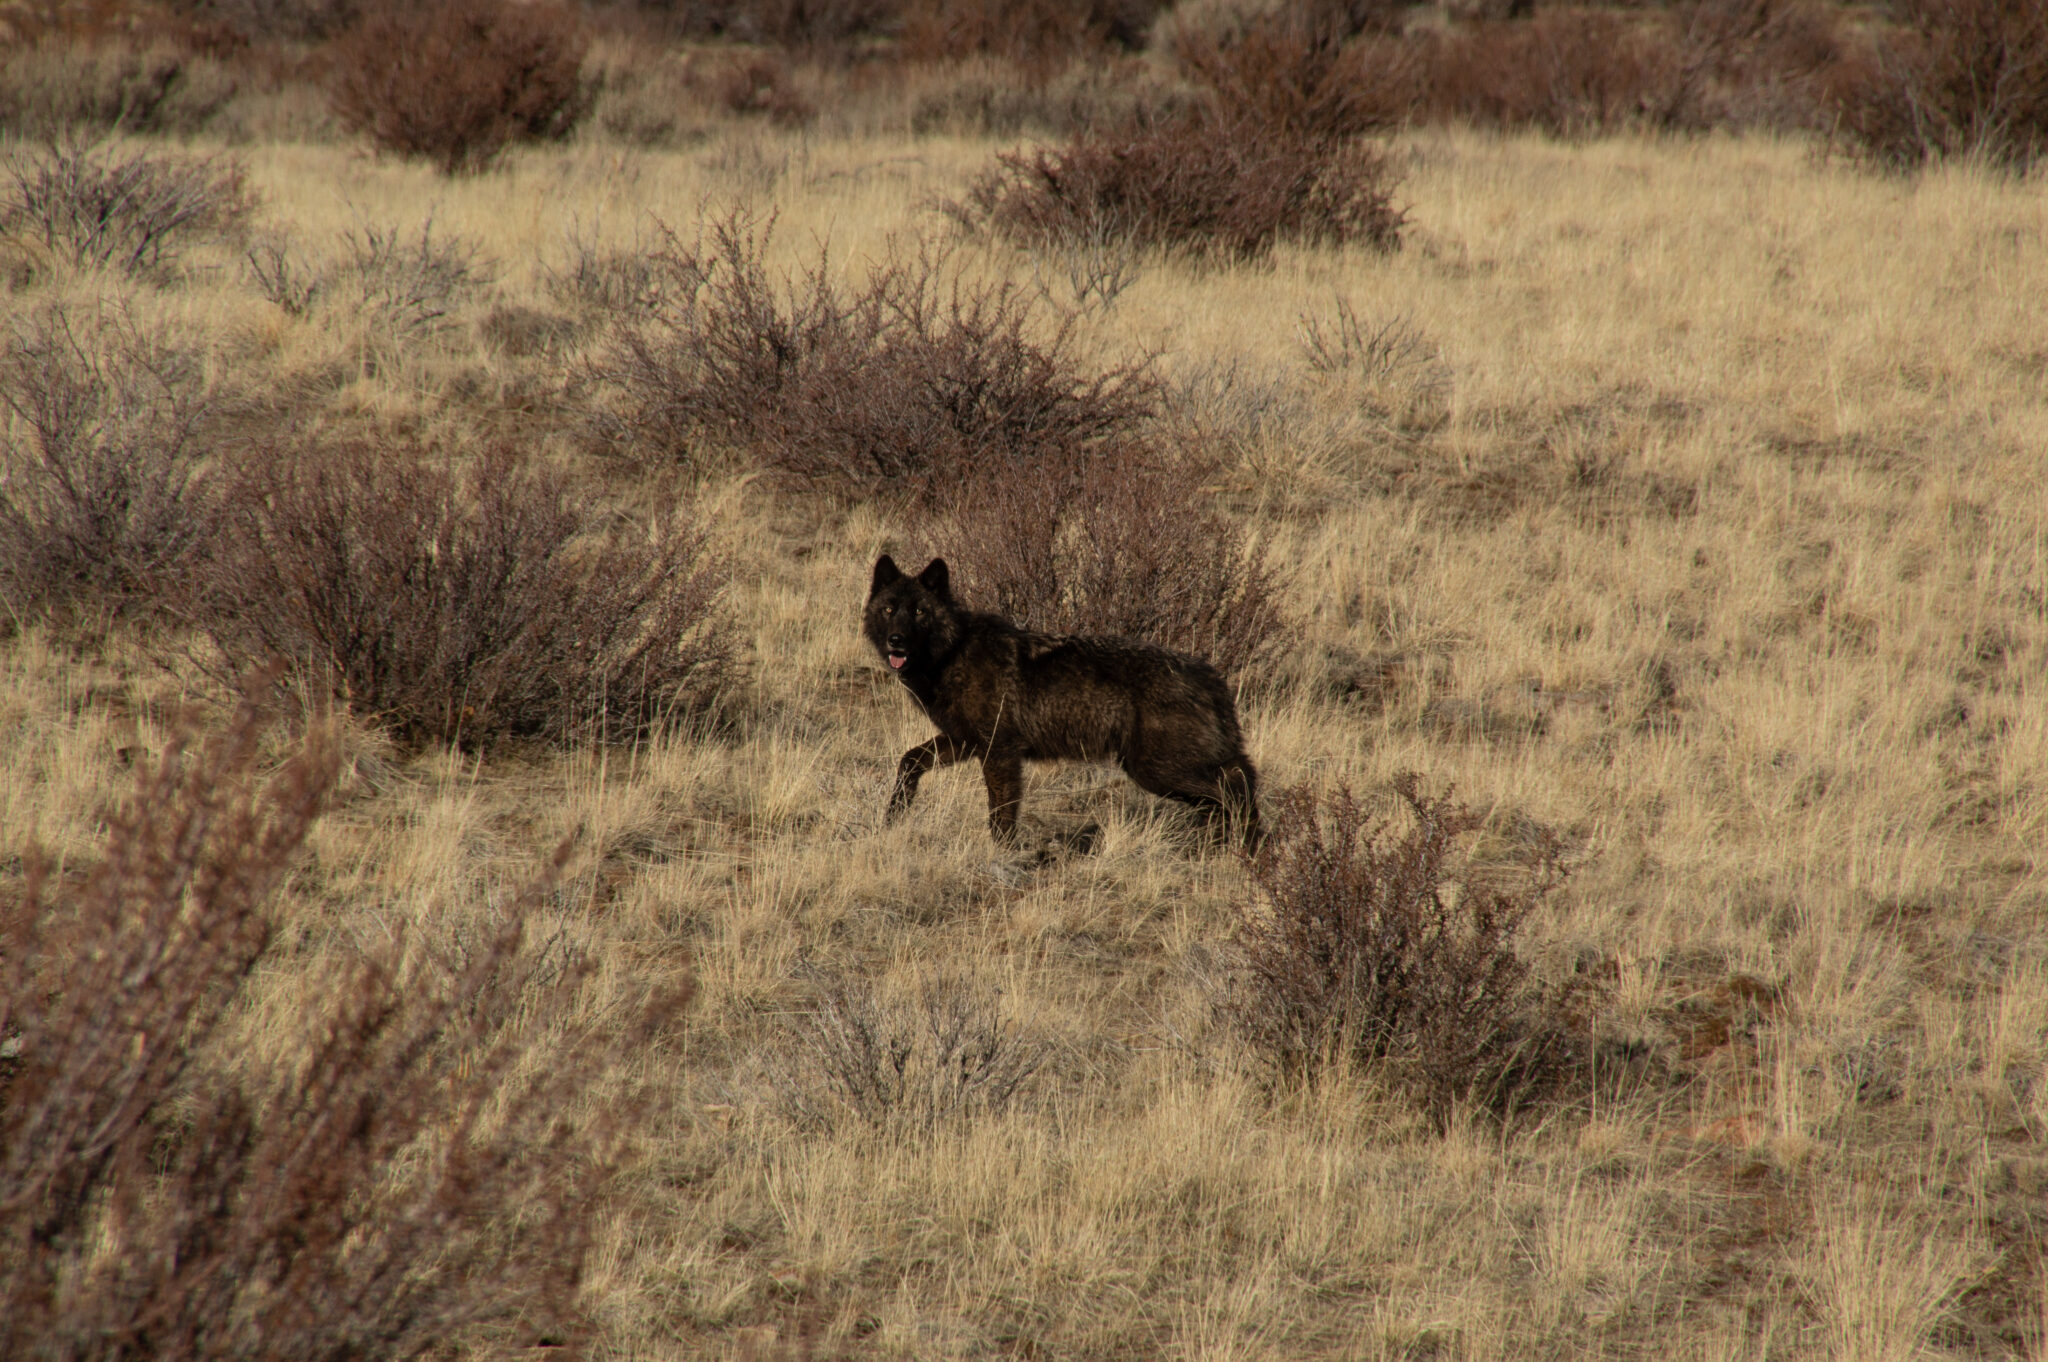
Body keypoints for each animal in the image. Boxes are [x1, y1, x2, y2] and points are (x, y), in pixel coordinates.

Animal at [864, 554, 1259, 850]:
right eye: (889, 610)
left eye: (919, 612)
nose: (896, 641)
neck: (951, 654)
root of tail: (1212, 676)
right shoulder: (963, 742)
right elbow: (909, 762)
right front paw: (893, 816)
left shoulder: (999, 753)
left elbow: (1000, 814)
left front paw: (1001, 856)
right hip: (1164, 771)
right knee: (1237, 787)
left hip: (1156, 771)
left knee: (1233, 793)